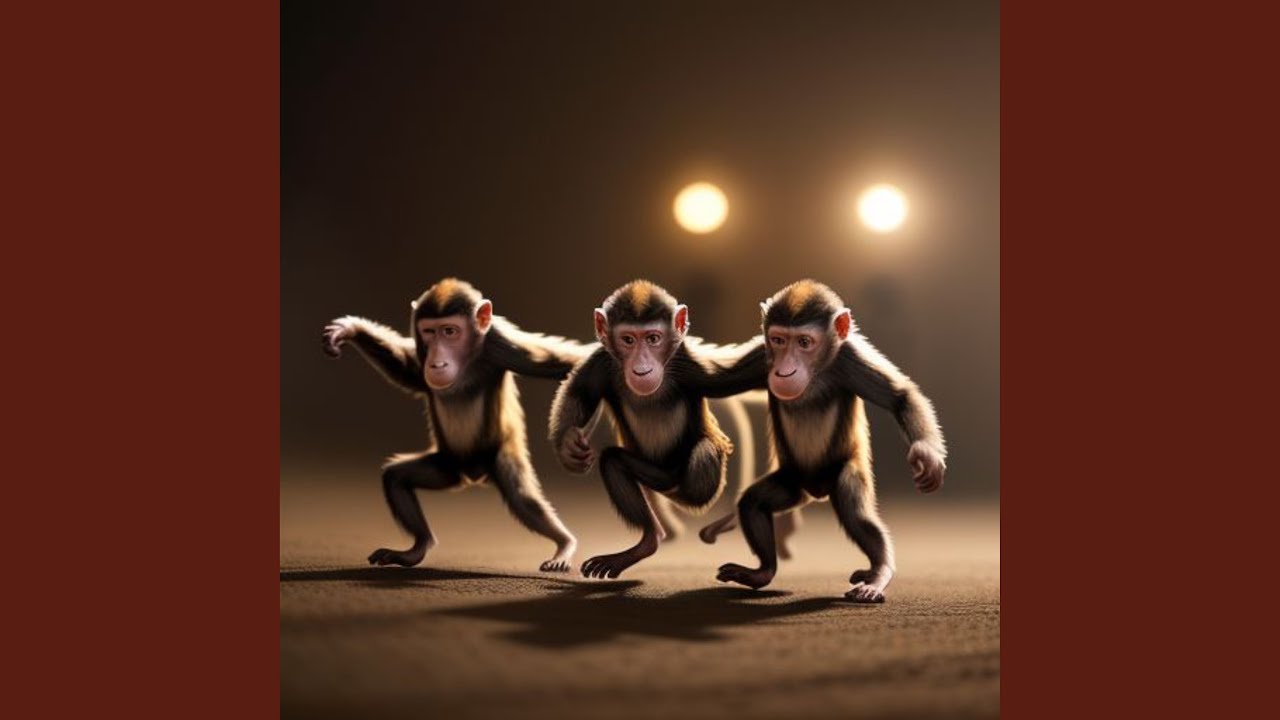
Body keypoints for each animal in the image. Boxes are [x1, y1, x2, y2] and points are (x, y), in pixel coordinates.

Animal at [321, 278, 595, 573]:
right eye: (429, 332)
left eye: (450, 331)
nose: (437, 361)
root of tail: (471, 475)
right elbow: (411, 374)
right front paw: (352, 329)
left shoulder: (501, 346)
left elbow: (567, 365)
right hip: (446, 467)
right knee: (396, 478)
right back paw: (417, 547)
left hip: (494, 457)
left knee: (522, 498)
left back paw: (564, 544)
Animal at [548, 280, 768, 579]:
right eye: (629, 340)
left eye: (653, 338)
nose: (642, 366)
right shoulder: (602, 361)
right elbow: (579, 392)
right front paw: (569, 445)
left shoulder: (690, 366)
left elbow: (747, 372)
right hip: (657, 476)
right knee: (615, 462)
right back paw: (648, 541)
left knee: (701, 461)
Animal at [715, 279, 946, 603]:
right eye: (778, 340)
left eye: (804, 343)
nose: (784, 370)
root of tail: (814, 491)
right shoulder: (761, 359)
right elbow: (713, 381)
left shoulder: (849, 359)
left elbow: (900, 397)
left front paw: (926, 455)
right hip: (791, 483)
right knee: (754, 503)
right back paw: (762, 571)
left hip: (841, 471)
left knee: (856, 513)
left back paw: (878, 573)